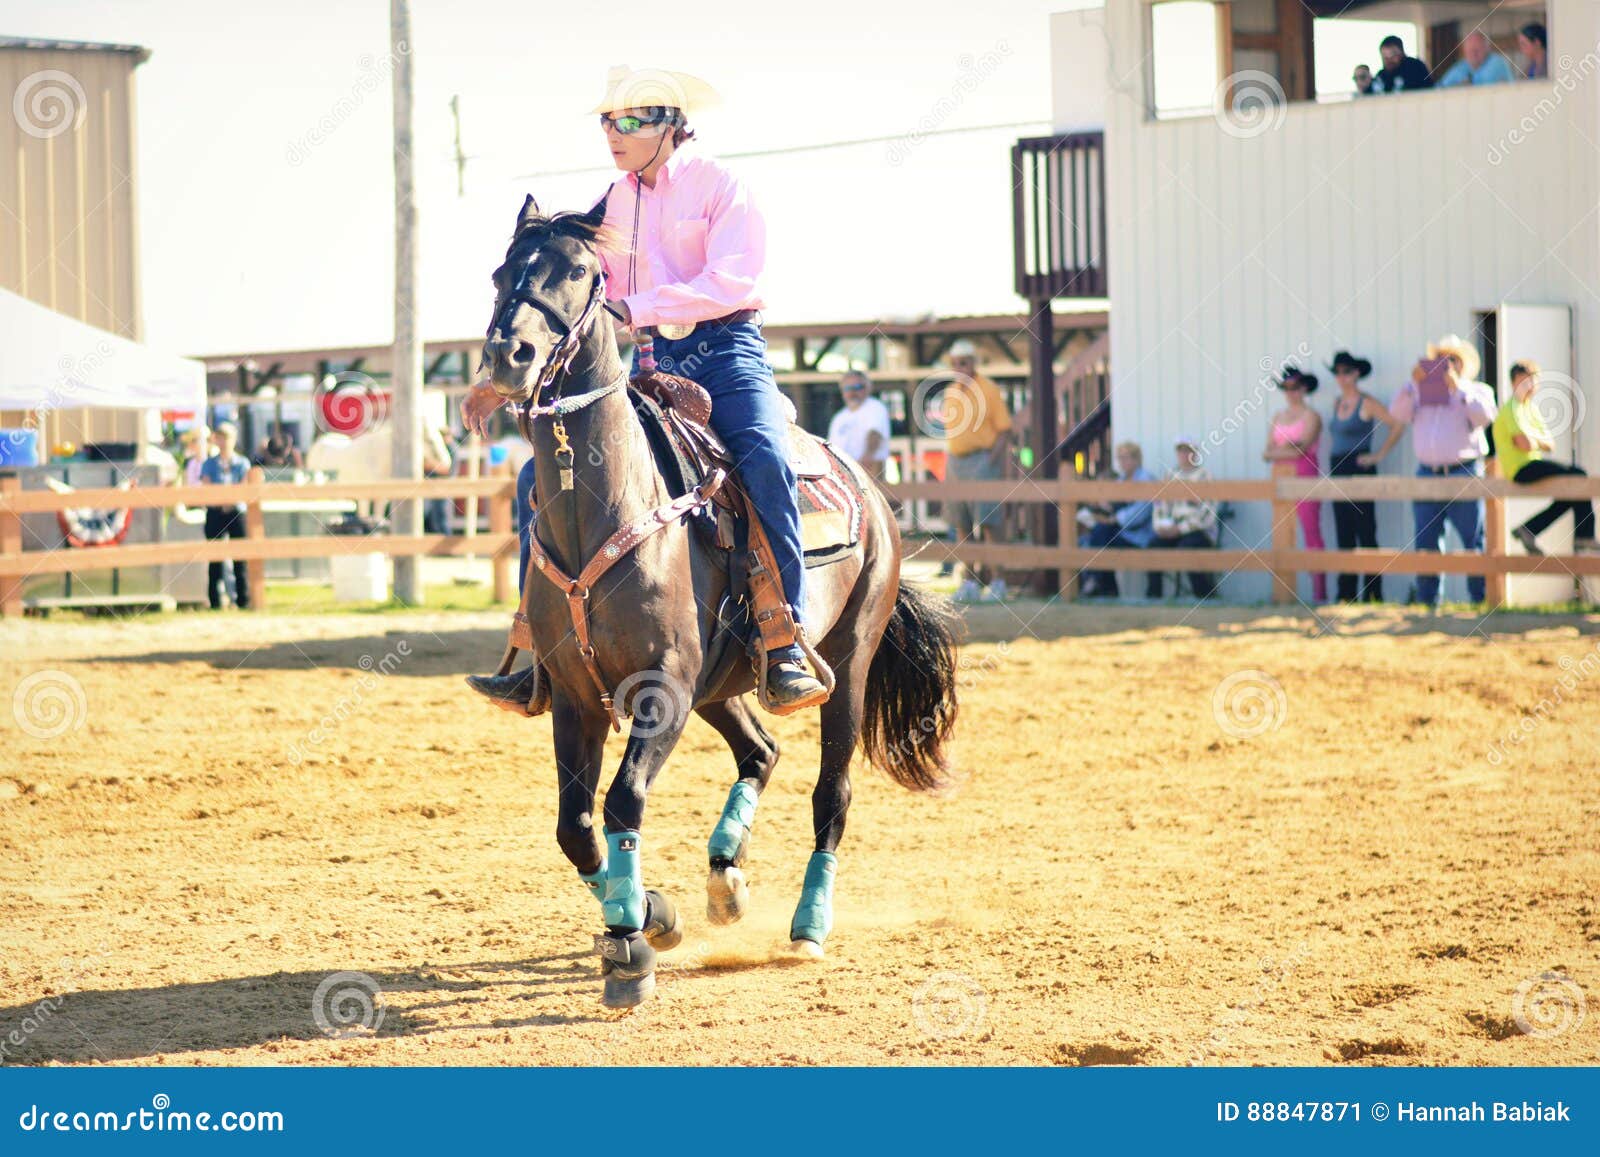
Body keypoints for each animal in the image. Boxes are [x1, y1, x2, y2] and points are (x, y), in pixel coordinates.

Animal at [478, 194, 959, 1008]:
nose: (507, 355)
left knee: (832, 792)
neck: (609, 503)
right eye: (499, 272)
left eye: (577, 271)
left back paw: (808, 924)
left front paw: (630, 946)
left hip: (847, 664)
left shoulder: (662, 688)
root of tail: (869, 489)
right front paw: (651, 914)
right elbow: (576, 826)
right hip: (722, 681)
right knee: (760, 751)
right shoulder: (577, 696)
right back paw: (724, 879)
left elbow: (622, 802)